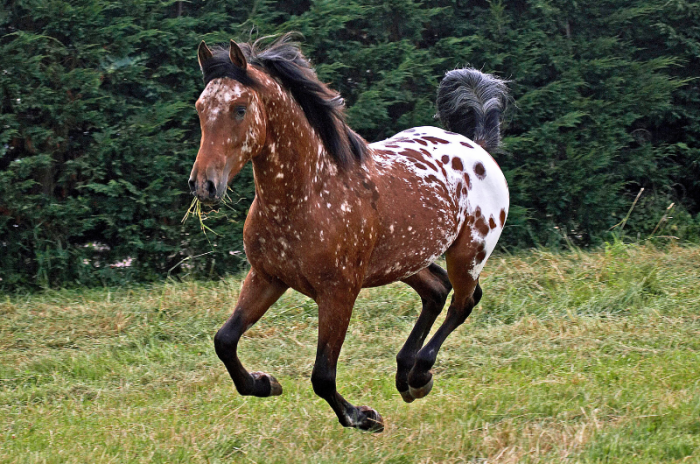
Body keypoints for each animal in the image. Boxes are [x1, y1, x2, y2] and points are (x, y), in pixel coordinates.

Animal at [188, 34, 509, 432]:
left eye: (240, 108)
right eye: (200, 107)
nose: (204, 185)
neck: (308, 195)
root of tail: (476, 146)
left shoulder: (338, 293)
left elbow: (322, 375)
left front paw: (364, 417)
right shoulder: (266, 277)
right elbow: (225, 340)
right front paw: (264, 383)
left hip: (467, 254)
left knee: (464, 301)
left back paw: (420, 375)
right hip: (403, 261)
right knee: (437, 290)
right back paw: (406, 375)